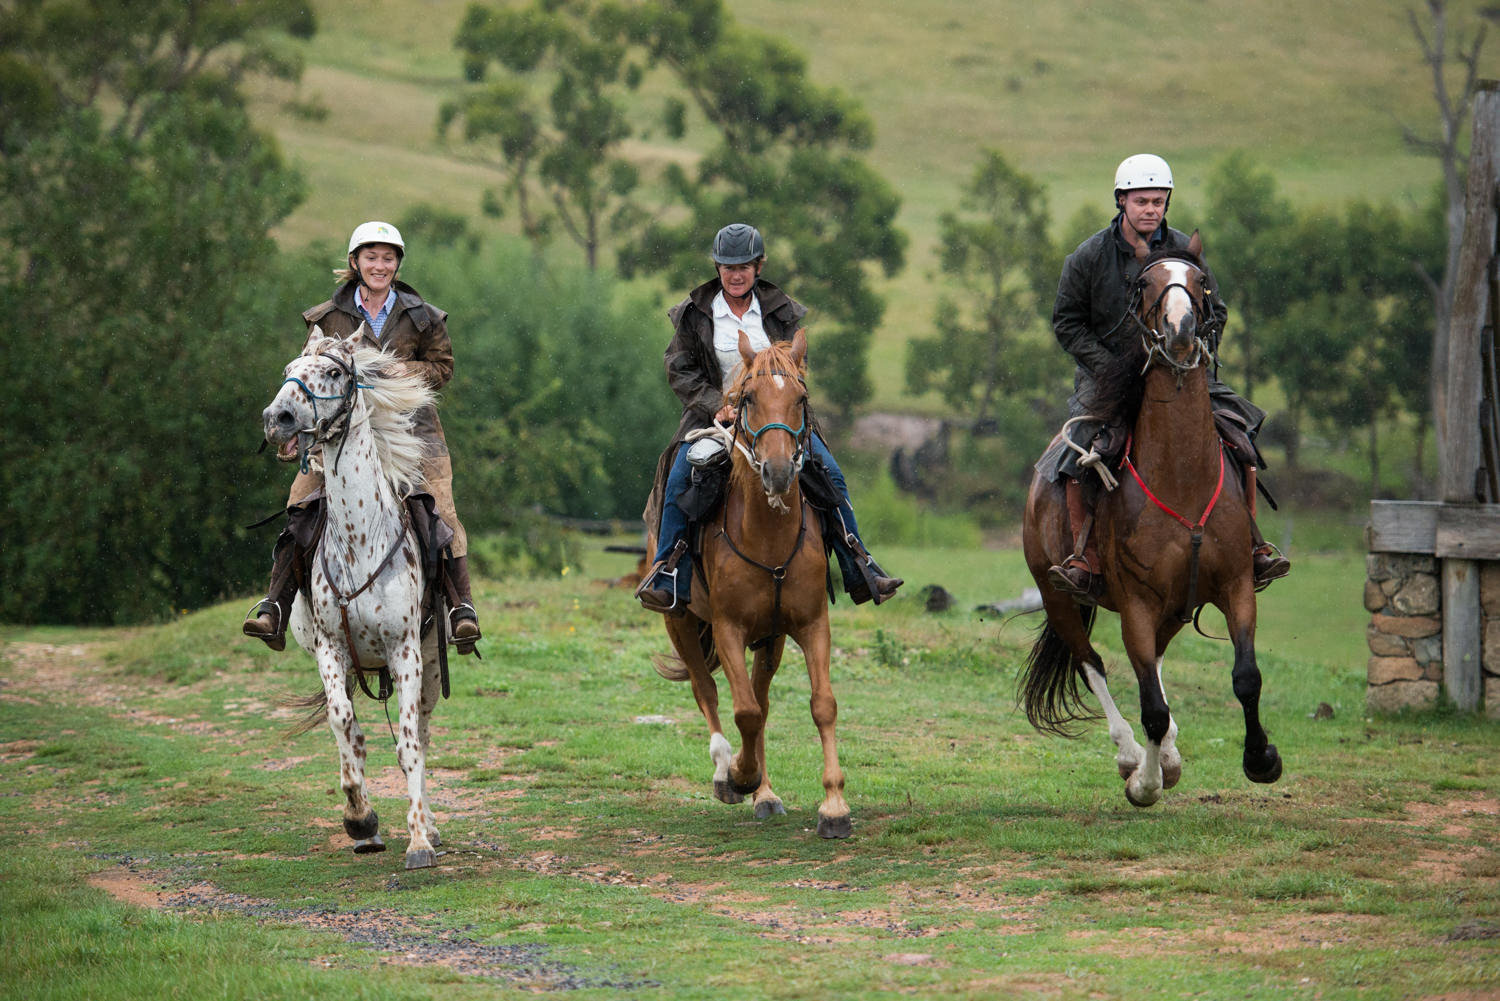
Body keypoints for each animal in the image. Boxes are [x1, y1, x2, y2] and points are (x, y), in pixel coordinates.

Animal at [261, 325, 446, 868]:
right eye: (289, 370)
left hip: (430, 665)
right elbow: (345, 724)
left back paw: (429, 823)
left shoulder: (406, 652)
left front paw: (419, 840)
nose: (276, 419)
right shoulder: (331, 649)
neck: (361, 539)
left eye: (334, 371)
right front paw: (360, 818)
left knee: (422, 734)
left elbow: (409, 745)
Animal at [650, 330, 851, 838]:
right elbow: (742, 710)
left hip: (771, 638)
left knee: (759, 699)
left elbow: (821, 704)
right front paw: (740, 775)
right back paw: (729, 773)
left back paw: (765, 794)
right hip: (681, 623)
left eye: (800, 397)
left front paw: (834, 806)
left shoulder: (811, 624)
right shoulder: (727, 629)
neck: (769, 537)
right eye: (748, 398)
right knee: (709, 692)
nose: (778, 472)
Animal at [1019, 233, 1282, 807]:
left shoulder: (1236, 585)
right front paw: (1144, 782)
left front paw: (1261, 759)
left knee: (1156, 666)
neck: (1180, 478)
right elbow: (1150, 707)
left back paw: (1171, 754)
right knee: (1092, 664)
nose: (1180, 331)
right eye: (1143, 284)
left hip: (1176, 607)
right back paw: (1131, 755)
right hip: (1059, 596)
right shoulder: (1136, 605)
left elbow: (1246, 678)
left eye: (1201, 281)